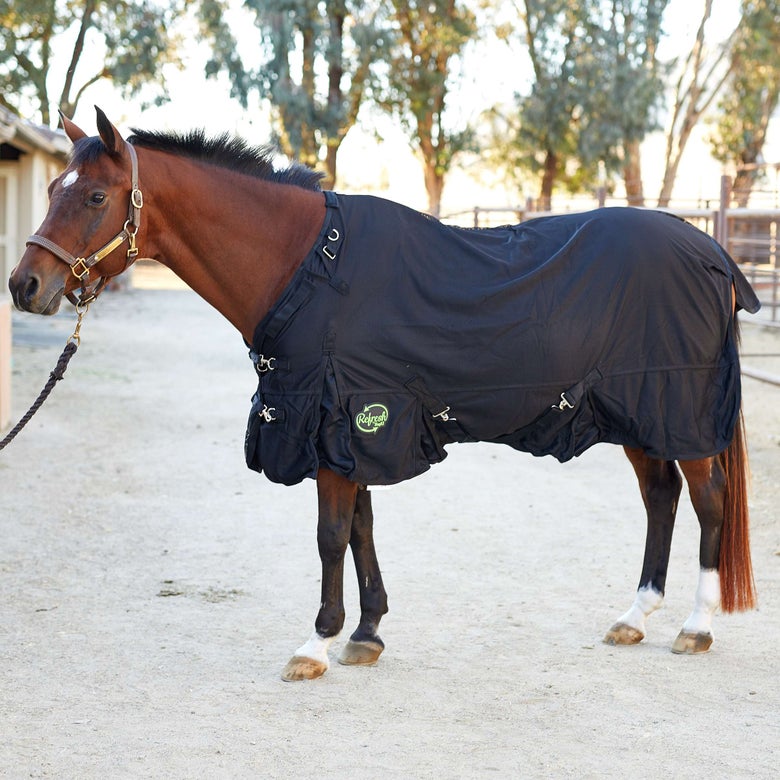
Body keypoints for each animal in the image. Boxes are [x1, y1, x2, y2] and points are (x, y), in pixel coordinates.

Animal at [8, 108, 759, 681]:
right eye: (50, 190)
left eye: (95, 197)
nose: (24, 286)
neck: (308, 267)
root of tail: (711, 252)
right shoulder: (350, 428)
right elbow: (362, 528)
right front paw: (365, 634)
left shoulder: (340, 423)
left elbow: (330, 535)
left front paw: (316, 642)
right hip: (638, 415)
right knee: (661, 498)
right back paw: (634, 616)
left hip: (676, 411)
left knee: (707, 501)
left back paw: (695, 625)